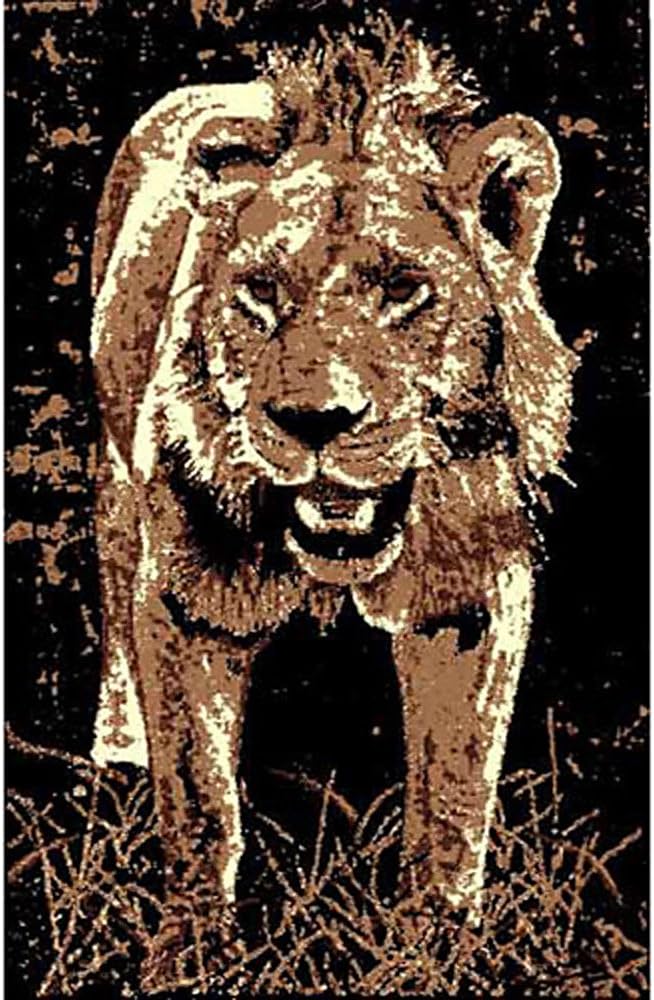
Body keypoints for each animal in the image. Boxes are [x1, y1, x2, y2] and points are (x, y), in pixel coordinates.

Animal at [90, 21, 577, 977]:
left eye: (404, 291)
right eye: (261, 294)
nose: (315, 419)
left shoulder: (475, 598)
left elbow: (454, 798)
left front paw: (435, 951)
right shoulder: (184, 601)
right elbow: (201, 806)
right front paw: (191, 956)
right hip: (114, 478)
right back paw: (116, 752)